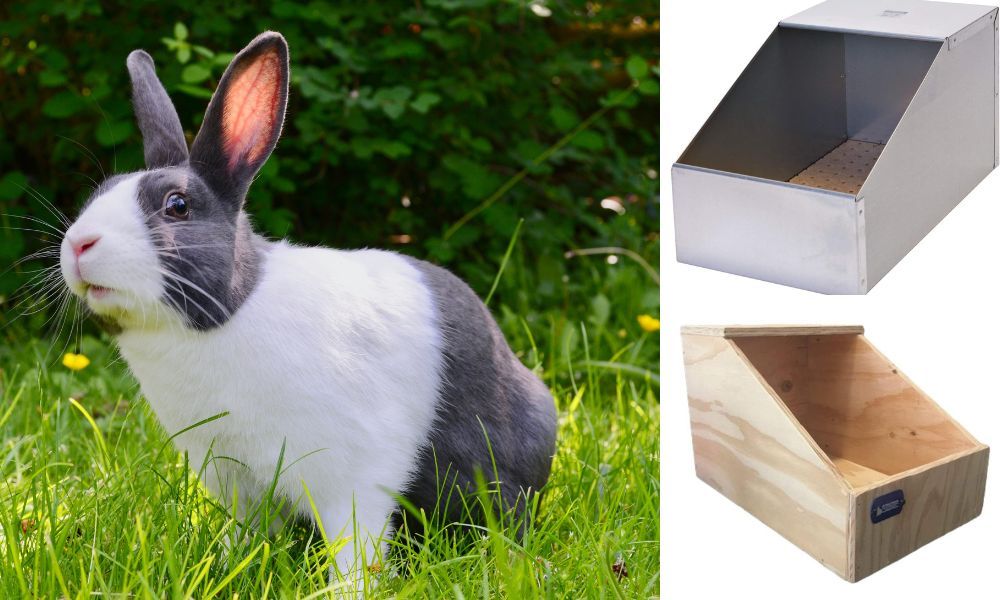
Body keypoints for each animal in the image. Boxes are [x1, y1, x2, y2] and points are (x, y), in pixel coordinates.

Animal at [58, 31, 558, 583]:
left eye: (177, 206)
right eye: (100, 192)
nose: (78, 244)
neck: (228, 315)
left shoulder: (352, 473)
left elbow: (356, 542)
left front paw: (347, 589)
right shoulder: (235, 477)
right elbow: (246, 532)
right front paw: (226, 565)